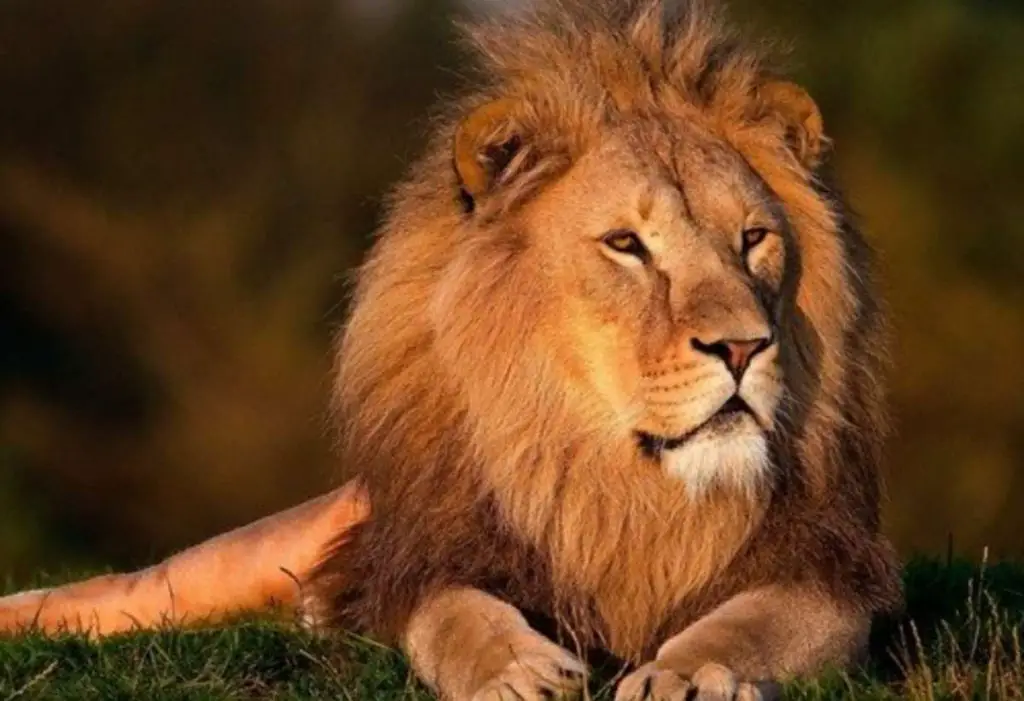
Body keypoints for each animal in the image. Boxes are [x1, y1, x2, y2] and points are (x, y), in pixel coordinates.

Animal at [0, 1, 902, 699]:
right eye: (626, 245)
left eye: (753, 239)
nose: (744, 346)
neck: (619, 485)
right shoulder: (430, 558)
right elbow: (455, 614)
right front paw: (515, 669)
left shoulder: (828, 571)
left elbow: (756, 622)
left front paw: (691, 672)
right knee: (121, 590)